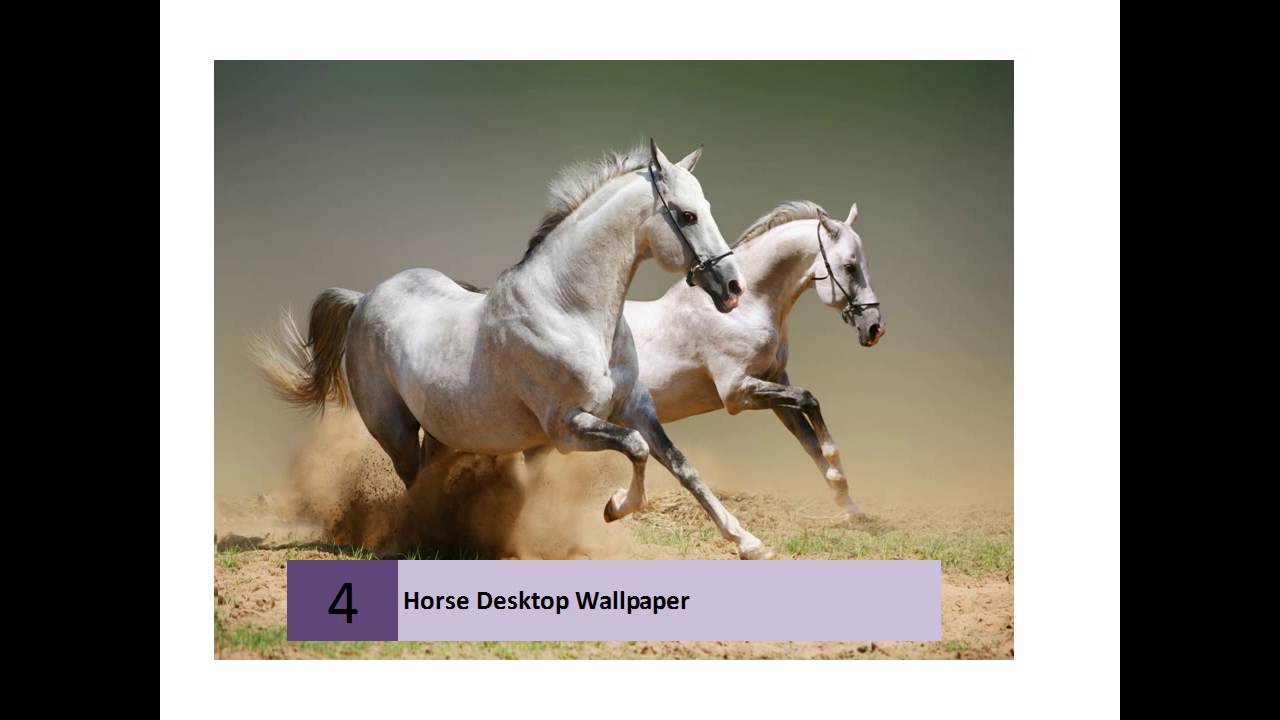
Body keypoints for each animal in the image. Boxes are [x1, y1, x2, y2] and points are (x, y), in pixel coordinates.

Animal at [256, 141, 777, 559]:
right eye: (687, 215)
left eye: (705, 206)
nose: (732, 288)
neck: (570, 310)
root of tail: (364, 299)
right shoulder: (567, 429)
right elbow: (636, 448)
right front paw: (614, 508)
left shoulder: (634, 407)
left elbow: (680, 464)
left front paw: (748, 542)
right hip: (394, 430)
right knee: (413, 483)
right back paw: (427, 540)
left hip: (444, 432)